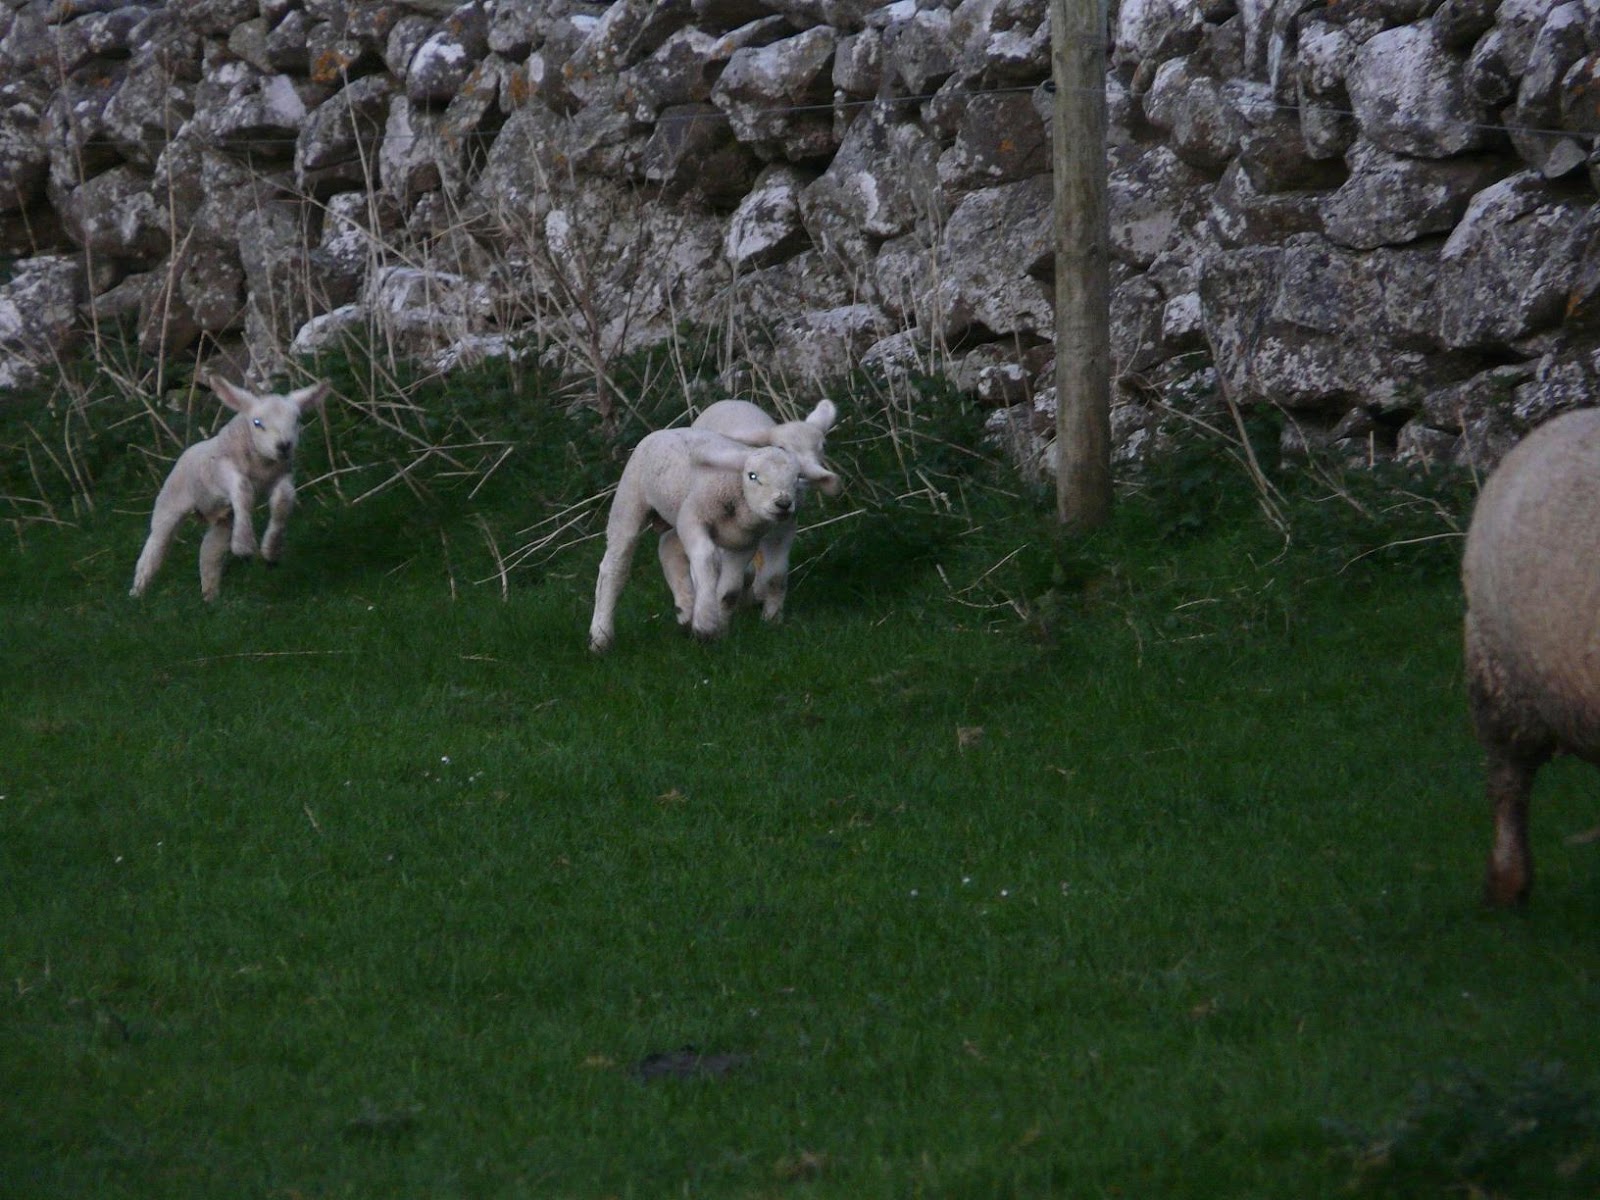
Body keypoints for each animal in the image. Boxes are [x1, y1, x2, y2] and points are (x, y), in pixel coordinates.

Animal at [130, 376, 330, 601]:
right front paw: (244, 546)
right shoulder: (224, 471)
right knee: (156, 546)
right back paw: (138, 591)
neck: (262, 466)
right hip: (171, 500)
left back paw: (210, 596)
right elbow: (243, 491)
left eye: (296, 420)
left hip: (224, 517)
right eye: (257, 423)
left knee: (210, 550)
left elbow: (283, 502)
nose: (284, 446)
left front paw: (271, 551)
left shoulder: (281, 477)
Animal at [589, 428, 801, 652]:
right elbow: (707, 558)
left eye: (796, 478)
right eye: (753, 476)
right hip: (630, 499)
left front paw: (719, 632)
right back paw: (601, 638)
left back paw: (685, 610)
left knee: (668, 545)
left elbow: (730, 592)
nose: (784, 504)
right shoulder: (692, 518)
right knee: (614, 566)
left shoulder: (744, 544)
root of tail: (662, 431)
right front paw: (705, 625)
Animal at [655, 398, 842, 624]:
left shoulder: (784, 528)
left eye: (823, 447)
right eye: (781, 448)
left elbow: (776, 576)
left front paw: (771, 618)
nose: (808, 477)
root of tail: (729, 401)